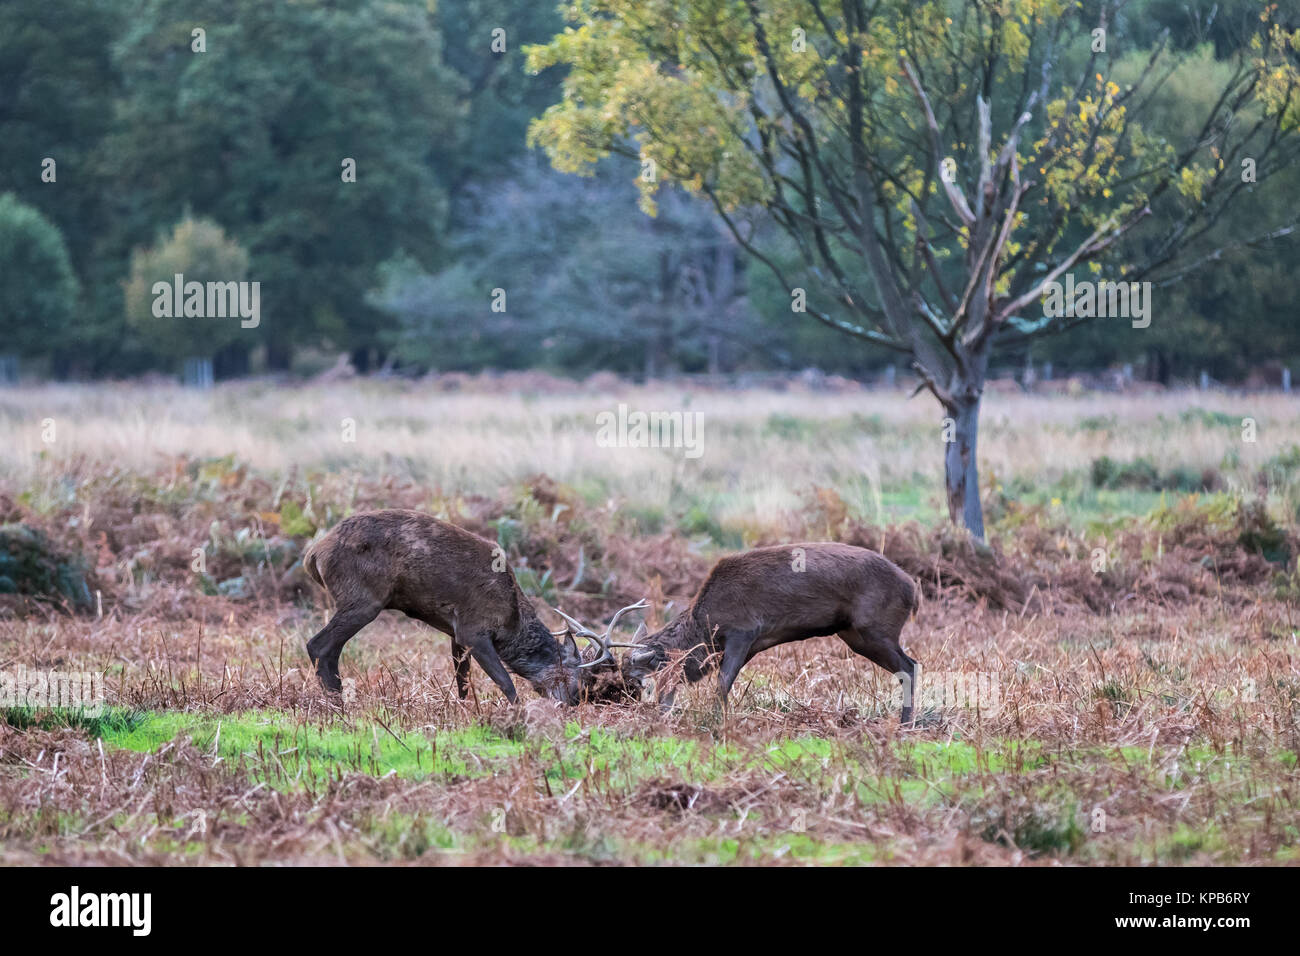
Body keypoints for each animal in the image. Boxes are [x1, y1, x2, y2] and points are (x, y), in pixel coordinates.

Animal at [301, 509, 634, 705]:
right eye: (581, 682)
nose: (569, 705)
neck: (511, 622)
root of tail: (314, 554)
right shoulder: (474, 628)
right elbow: (506, 684)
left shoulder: (454, 633)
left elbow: (462, 679)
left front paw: (465, 711)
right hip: (363, 598)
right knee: (318, 645)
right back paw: (338, 705)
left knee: (329, 649)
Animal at [559, 542, 921, 722]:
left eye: (632, 680)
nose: (625, 707)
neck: (704, 627)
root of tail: (912, 589)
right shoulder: (751, 644)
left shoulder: (742, 631)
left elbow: (721, 685)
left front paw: (714, 722)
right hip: (853, 633)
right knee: (909, 665)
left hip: (874, 626)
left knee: (909, 665)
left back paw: (906, 723)